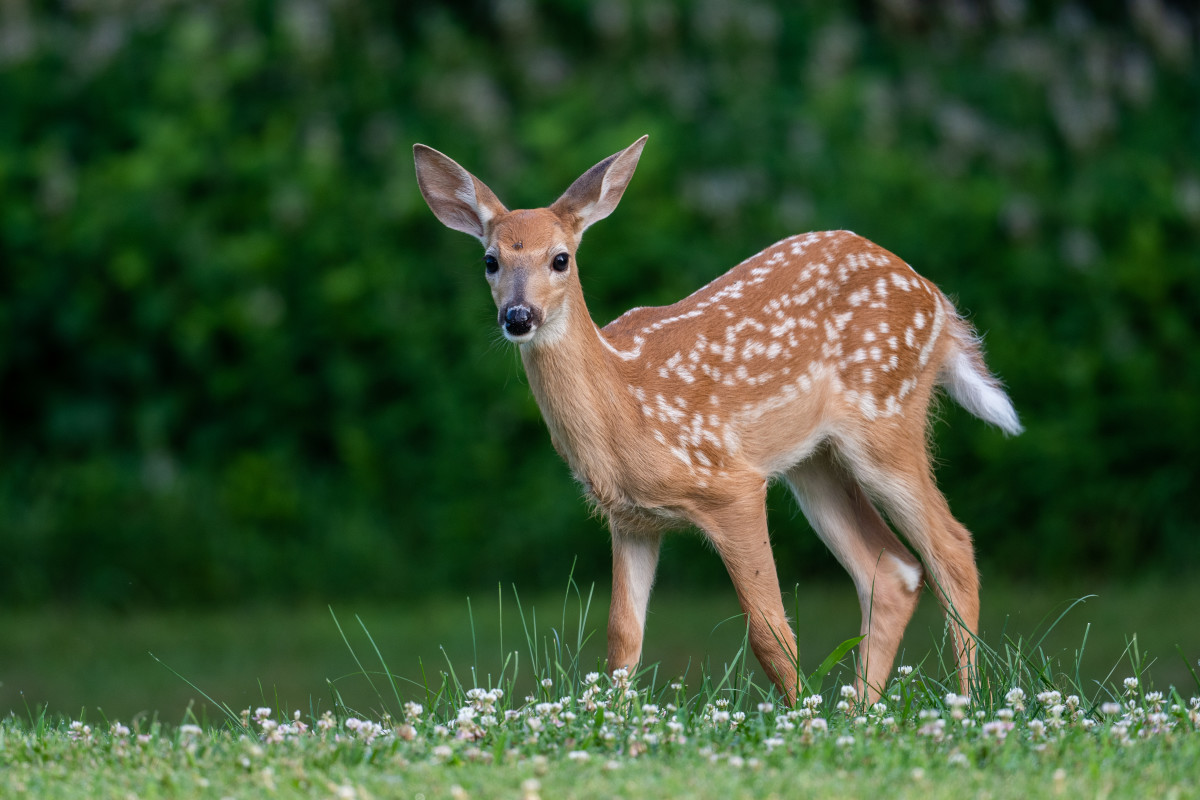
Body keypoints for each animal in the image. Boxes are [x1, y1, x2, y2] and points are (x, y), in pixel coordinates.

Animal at [412, 135, 1021, 704]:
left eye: (560, 258)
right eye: (491, 260)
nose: (518, 316)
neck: (625, 409)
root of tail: (938, 301)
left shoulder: (733, 487)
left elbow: (770, 633)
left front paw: (801, 720)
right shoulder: (631, 520)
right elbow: (622, 639)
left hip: (886, 416)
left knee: (952, 548)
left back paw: (967, 703)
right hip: (814, 460)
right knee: (892, 570)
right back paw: (861, 714)